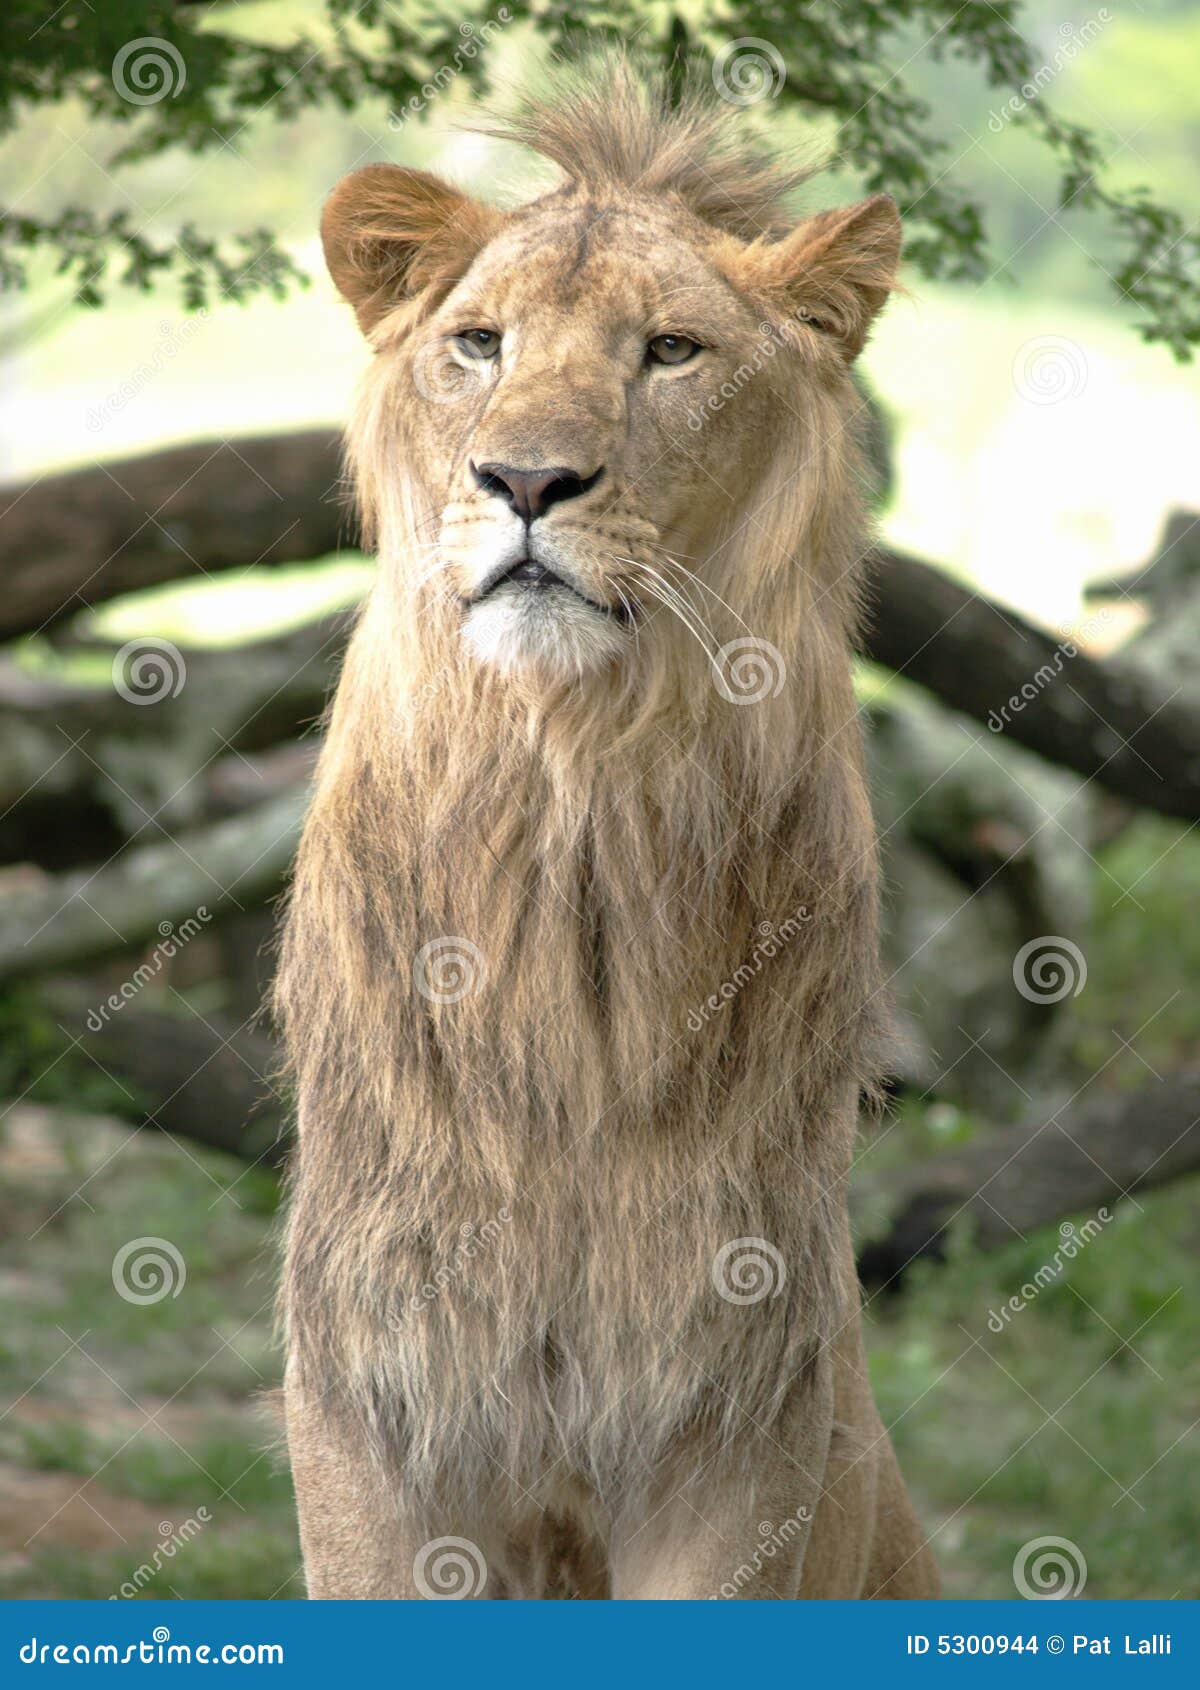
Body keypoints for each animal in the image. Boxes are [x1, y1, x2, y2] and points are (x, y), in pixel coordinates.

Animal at [276, 52, 939, 1600]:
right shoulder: (374, 1384)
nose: (525, 482)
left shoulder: (737, 1395)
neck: (569, 807)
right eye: (479, 345)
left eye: (672, 353)